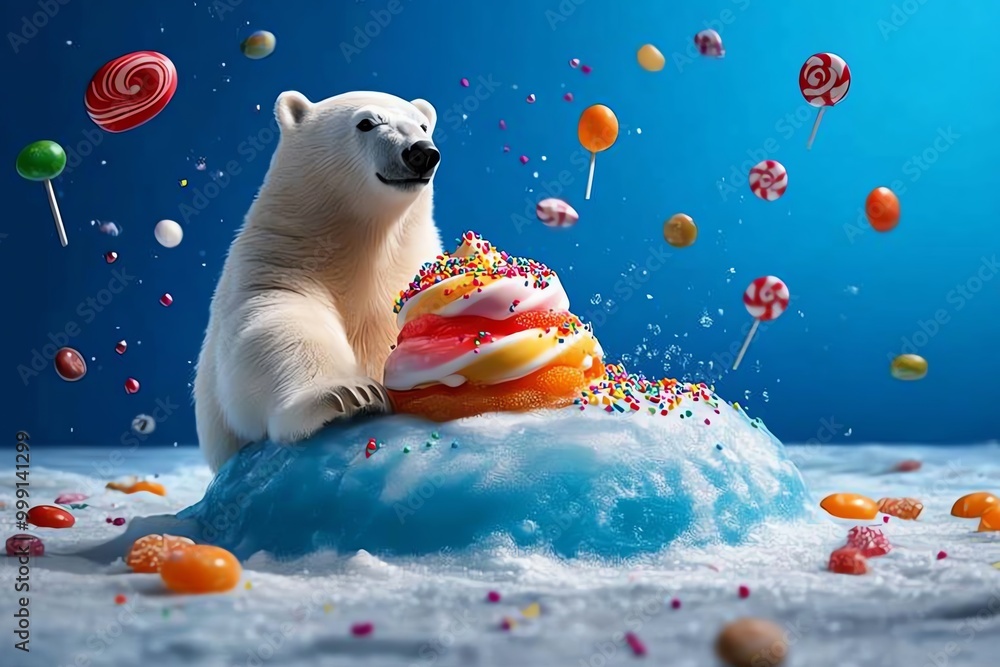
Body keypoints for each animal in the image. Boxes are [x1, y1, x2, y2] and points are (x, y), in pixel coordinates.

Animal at [194, 90, 444, 472]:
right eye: (366, 123)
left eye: (422, 125)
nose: (421, 152)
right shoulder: (280, 260)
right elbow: (280, 326)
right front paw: (350, 395)